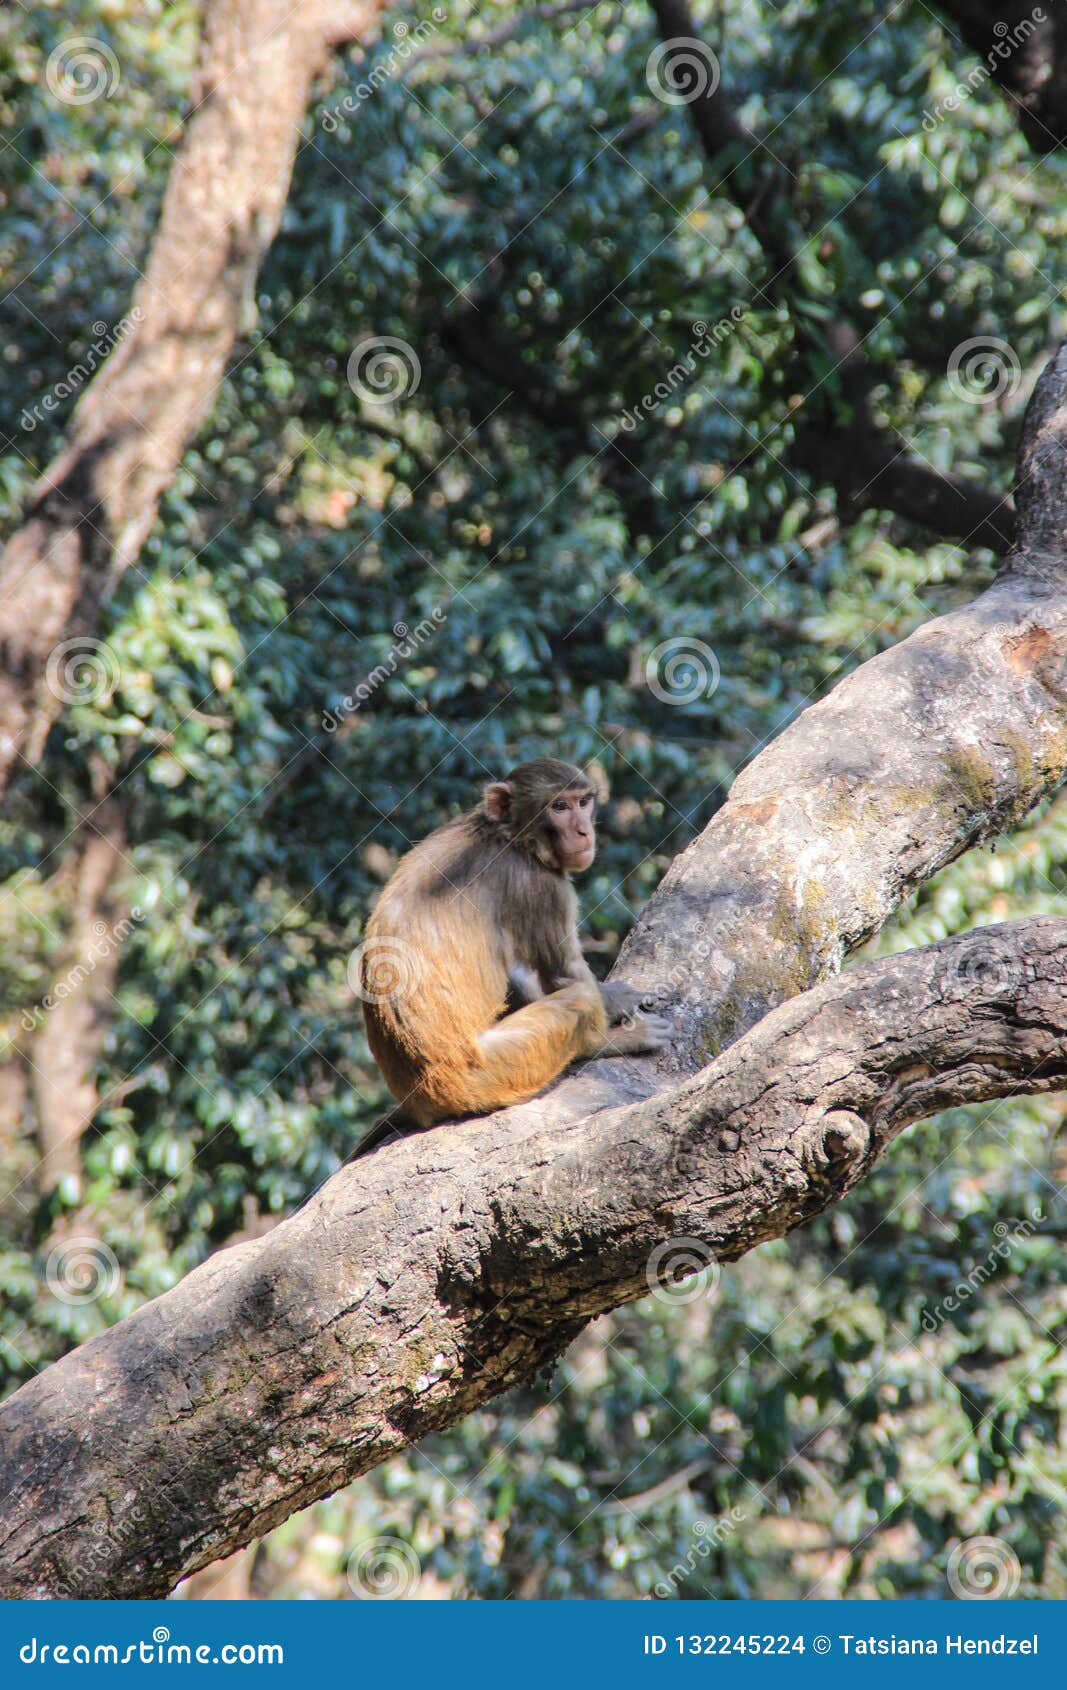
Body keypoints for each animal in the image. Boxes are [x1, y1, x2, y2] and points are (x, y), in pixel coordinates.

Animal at [359, 758, 670, 1129]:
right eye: (559, 807)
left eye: (583, 802)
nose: (584, 832)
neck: (511, 838)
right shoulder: (542, 886)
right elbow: (566, 974)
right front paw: (615, 1002)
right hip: (494, 1068)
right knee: (576, 999)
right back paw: (601, 1042)